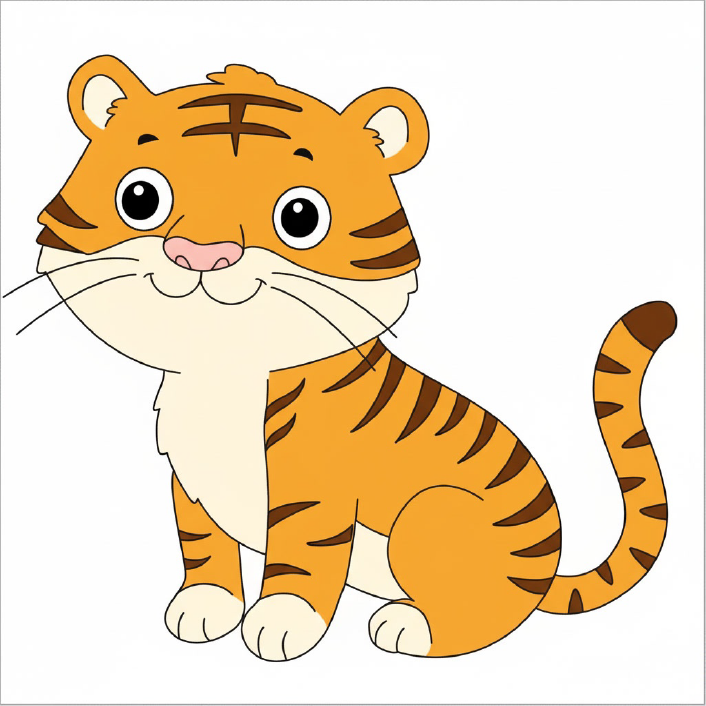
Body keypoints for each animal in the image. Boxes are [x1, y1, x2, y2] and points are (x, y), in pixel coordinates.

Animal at [24, 55, 676, 661]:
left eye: (301, 216)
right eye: (141, 198)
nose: (201, 254)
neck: (223, 371)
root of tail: (549, 566)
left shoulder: (316, 486)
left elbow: (301, 559)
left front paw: (281, 624)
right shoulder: (191, 477)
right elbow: (203, 544)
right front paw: (204, 607)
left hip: (432, 513)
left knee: (485, 616)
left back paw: (408, 625)